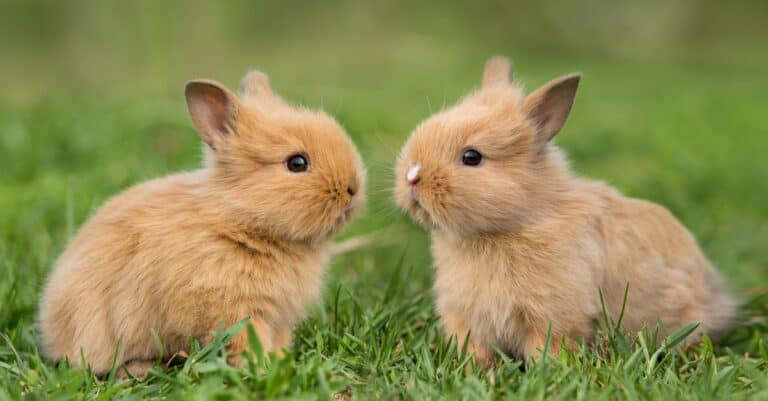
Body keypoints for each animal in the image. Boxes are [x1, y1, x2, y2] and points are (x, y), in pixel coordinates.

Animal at [38, 70, 366, 378]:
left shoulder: (277, 317)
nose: (353, 189)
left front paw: (281, 361)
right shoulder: (236, 311)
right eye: (297, 163)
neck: (239, 218)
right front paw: (262, 369)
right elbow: (247, 343)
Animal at [394, 56, 737, 367]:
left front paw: (544, 371)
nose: (412, 176)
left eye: (471, 157)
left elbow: (546, 346)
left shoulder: (553, 316)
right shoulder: (465, 317)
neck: (519, 220)